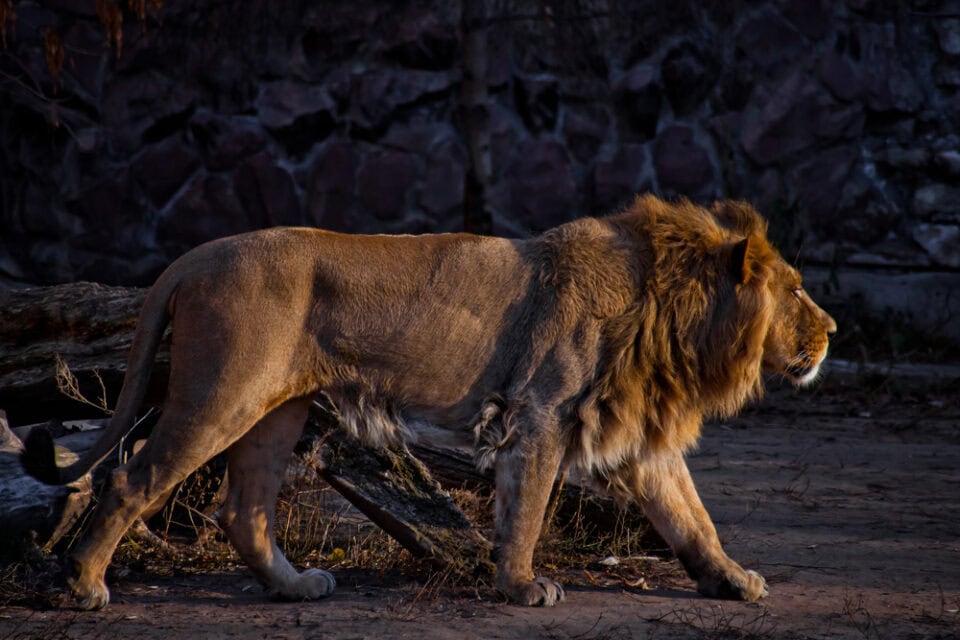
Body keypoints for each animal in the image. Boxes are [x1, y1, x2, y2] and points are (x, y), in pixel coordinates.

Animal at [22, 194, 835, 610]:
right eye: (797, 291)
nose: (831, 332)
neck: (677, 315)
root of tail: (192, 257)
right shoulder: (539, 414)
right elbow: (527, 510)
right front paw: (521, 586)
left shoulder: (635, 434)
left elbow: (692, 516)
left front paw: (732, 580)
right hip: (221, 393)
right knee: (129, 480)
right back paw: (83, 587)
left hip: (276, 408)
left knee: (242, 510)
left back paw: (295, 588)